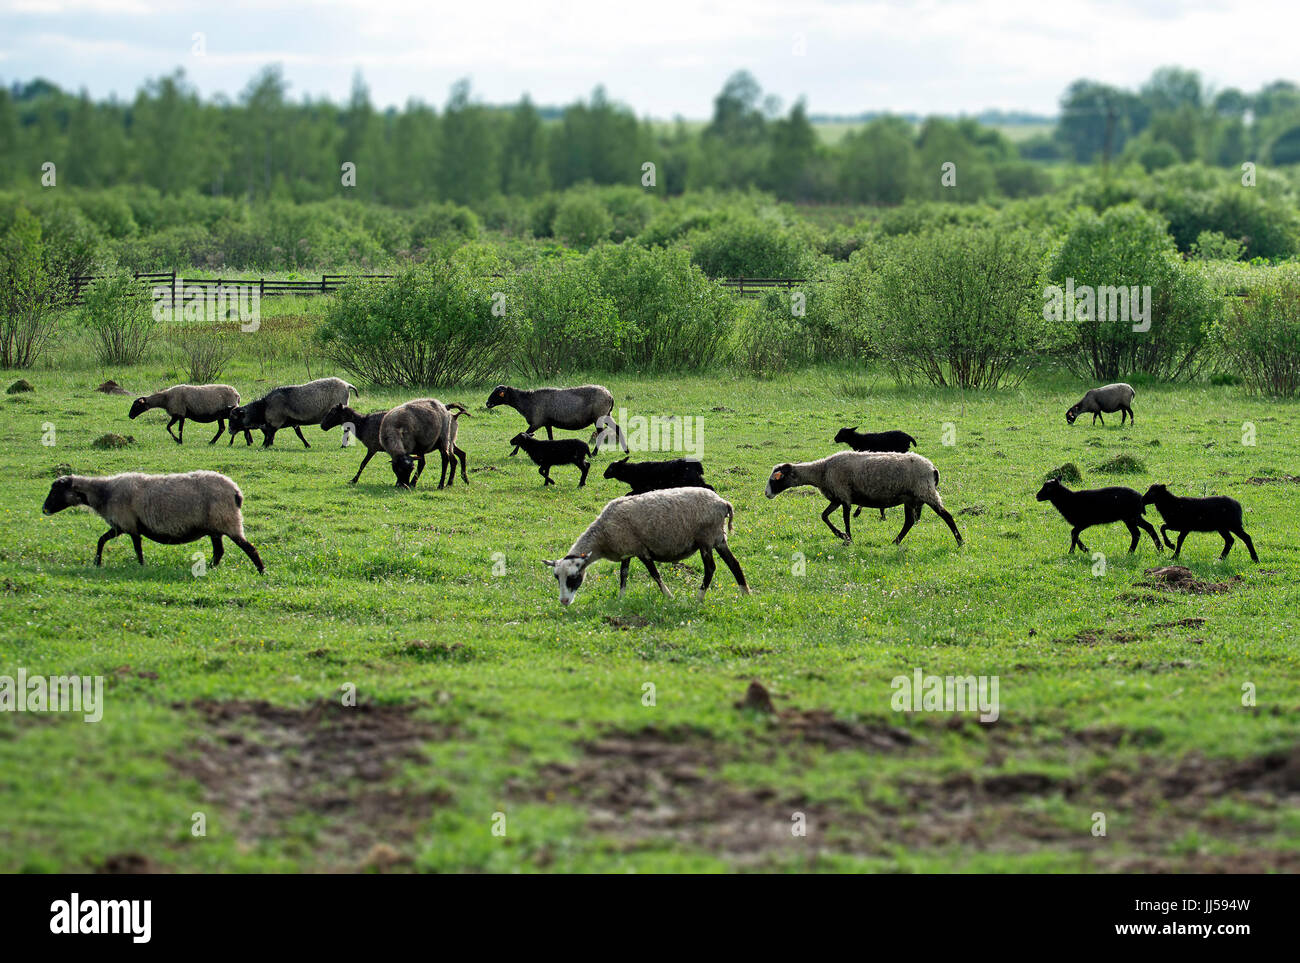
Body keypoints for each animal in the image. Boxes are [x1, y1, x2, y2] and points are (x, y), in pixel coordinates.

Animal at [41, 471, 264, 573]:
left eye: (56, 491)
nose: (44, 509)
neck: (104, 493)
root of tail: (236, 492)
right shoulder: (121, 526)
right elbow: (101, 540)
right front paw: (97, 562)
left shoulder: (129, 525)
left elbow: (136, 547)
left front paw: (140, 565)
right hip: (216, 528)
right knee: (219, 551)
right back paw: (210, 567)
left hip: (227, 521)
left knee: (250, 548)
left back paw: (261, 572)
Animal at [227, 377, 358, 448]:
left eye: (234, 418)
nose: (229, 431)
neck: (263, 407)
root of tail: (347, 385)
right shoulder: (293, 422)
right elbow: (299, 434)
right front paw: (307, 445)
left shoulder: (275, 421)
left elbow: (270, 434)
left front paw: (265, 446)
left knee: (346, 429)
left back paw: (343, 445)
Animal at [486, 384, 628, 453]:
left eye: (498, 394)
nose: (487, 403)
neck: (527, 401)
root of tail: (610, 395)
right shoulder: (547, 423)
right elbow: (550, 438)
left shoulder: (537, 422)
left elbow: (524, 434)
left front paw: (513, 453)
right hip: (607, 414)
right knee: (618, 428)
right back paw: (626, 450)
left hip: (599, 416)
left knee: (601, 434)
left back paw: (594, 453)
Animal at [545, 488, 749, 604]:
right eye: (556, 577)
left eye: (574, 577)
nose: (564, 601)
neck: (602, 536)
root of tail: (723, 502)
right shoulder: (627, 551)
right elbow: (623, 575)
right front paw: (620, 598)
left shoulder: (641, 550)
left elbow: (655, 574)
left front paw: (668, 596)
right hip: (718, 538)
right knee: (734, 564)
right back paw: (745, 593)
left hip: (705, 539)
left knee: (710, 568)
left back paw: (699, 598)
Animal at [764, 451, 962, 547]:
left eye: (775, 479)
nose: (766, 494)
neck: (822, 471)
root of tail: (933, 469)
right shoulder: (837, 497)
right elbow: (824, 516)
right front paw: (841, 535)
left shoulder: (844, 496)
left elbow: (845, 519)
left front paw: (848, 539)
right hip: (910, 498)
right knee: (909, 522)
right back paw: (895, 542)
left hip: (926, 491)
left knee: (947, 516)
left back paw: (960, 542)